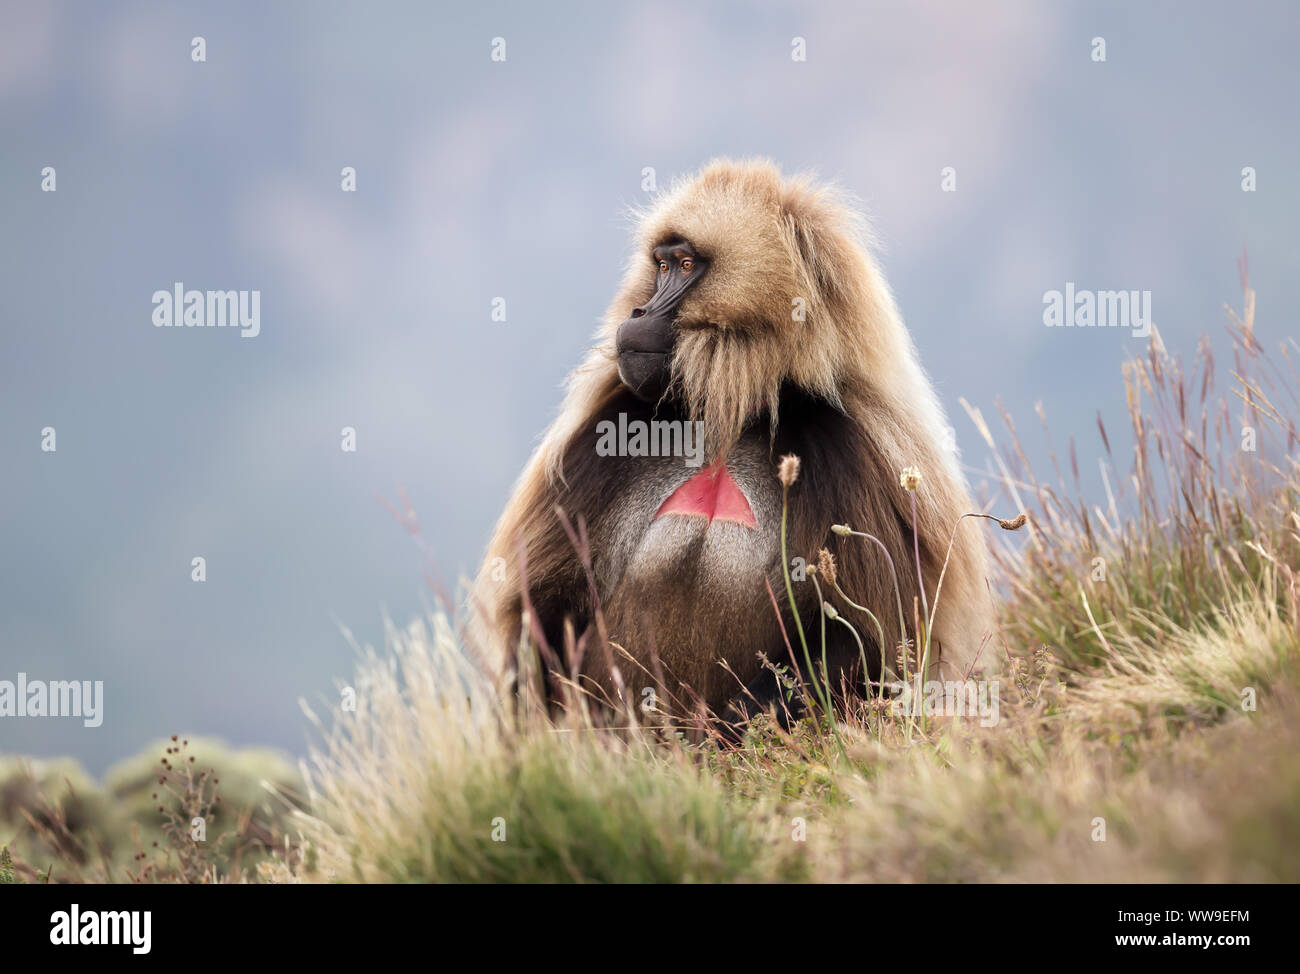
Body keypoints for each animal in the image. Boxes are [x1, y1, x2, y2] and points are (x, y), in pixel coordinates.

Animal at [471, 158, 997, 726]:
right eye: (660, 265)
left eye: (685, 266)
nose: (638, 315)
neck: (735, 415)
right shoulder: (615, 426)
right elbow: (545, 605)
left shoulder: (844, 446)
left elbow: (869, 636)